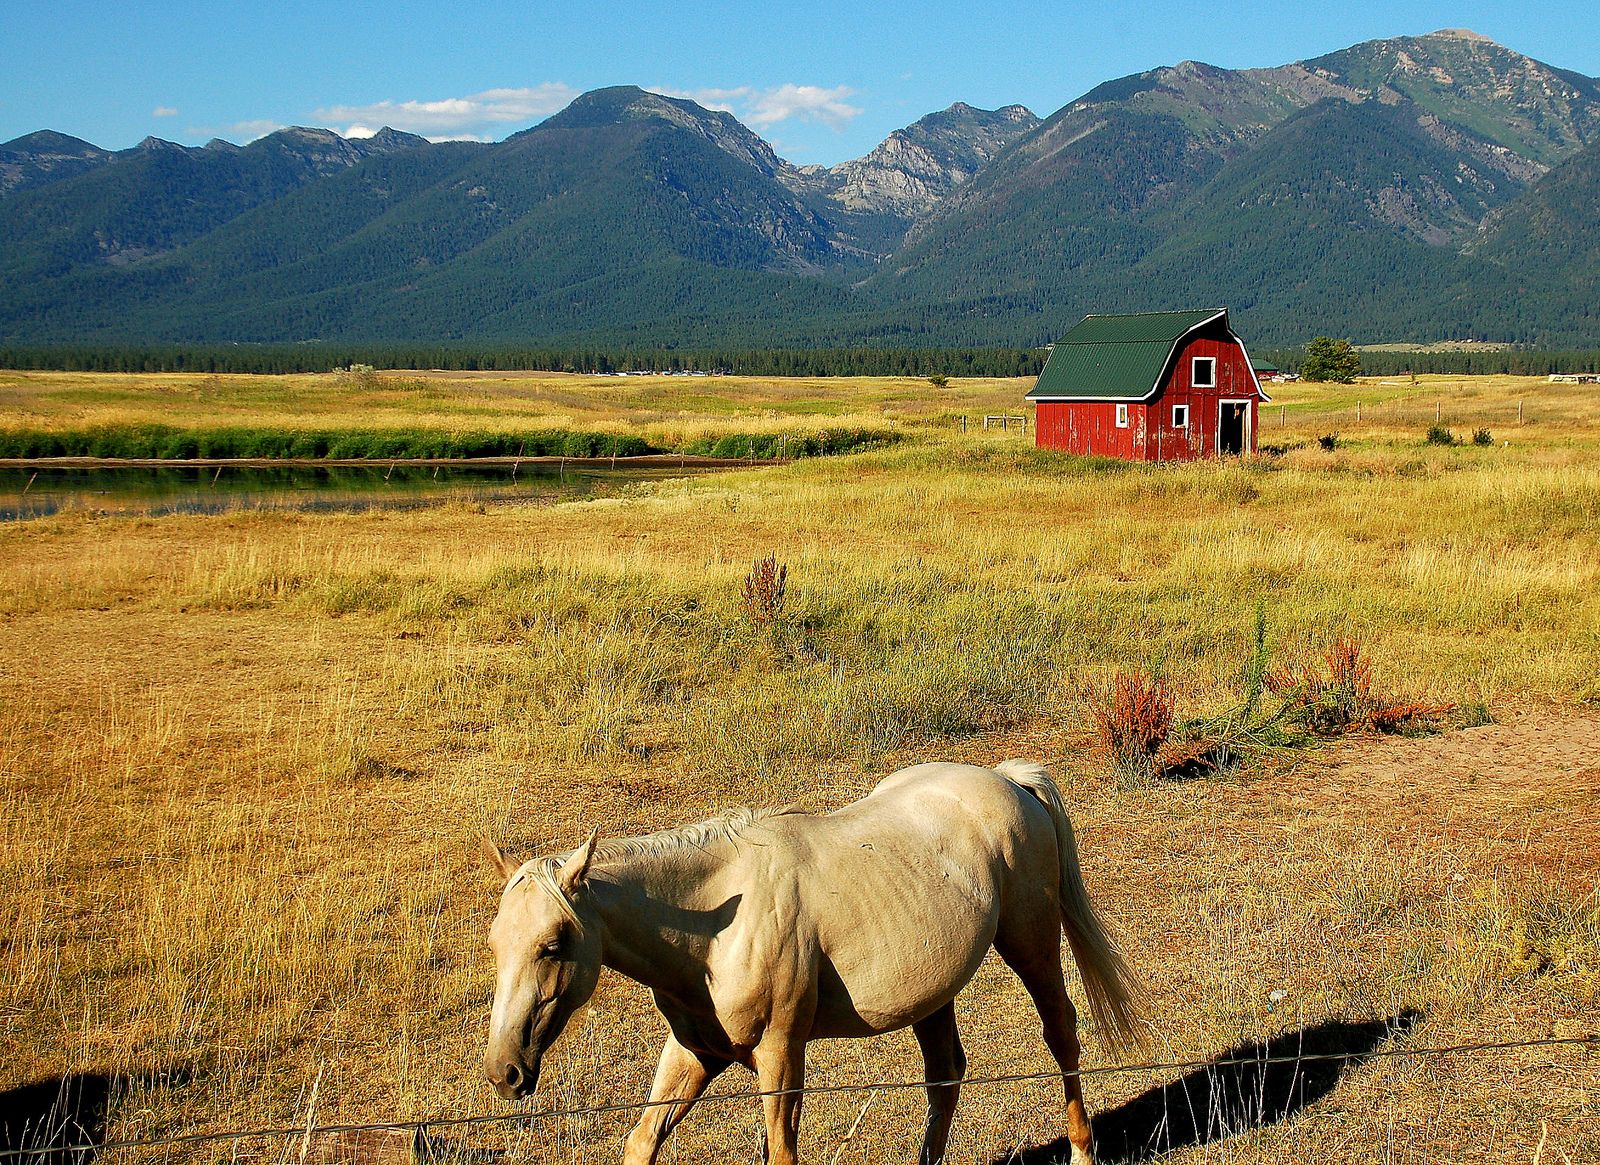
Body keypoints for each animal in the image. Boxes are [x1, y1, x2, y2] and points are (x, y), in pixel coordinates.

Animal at [482, 759, 1141, 1165]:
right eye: (495, 944)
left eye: (553, 944)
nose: (503, 1071)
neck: (718, 925)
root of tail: (1007, 780)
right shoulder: (695, 1051)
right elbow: (642, 1142)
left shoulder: (781, 1052)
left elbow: (781, 1151)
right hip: (933, 992)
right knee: (946, 1073)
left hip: (1032, 945)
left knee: (1062, 1035)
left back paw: (1082, 1149)